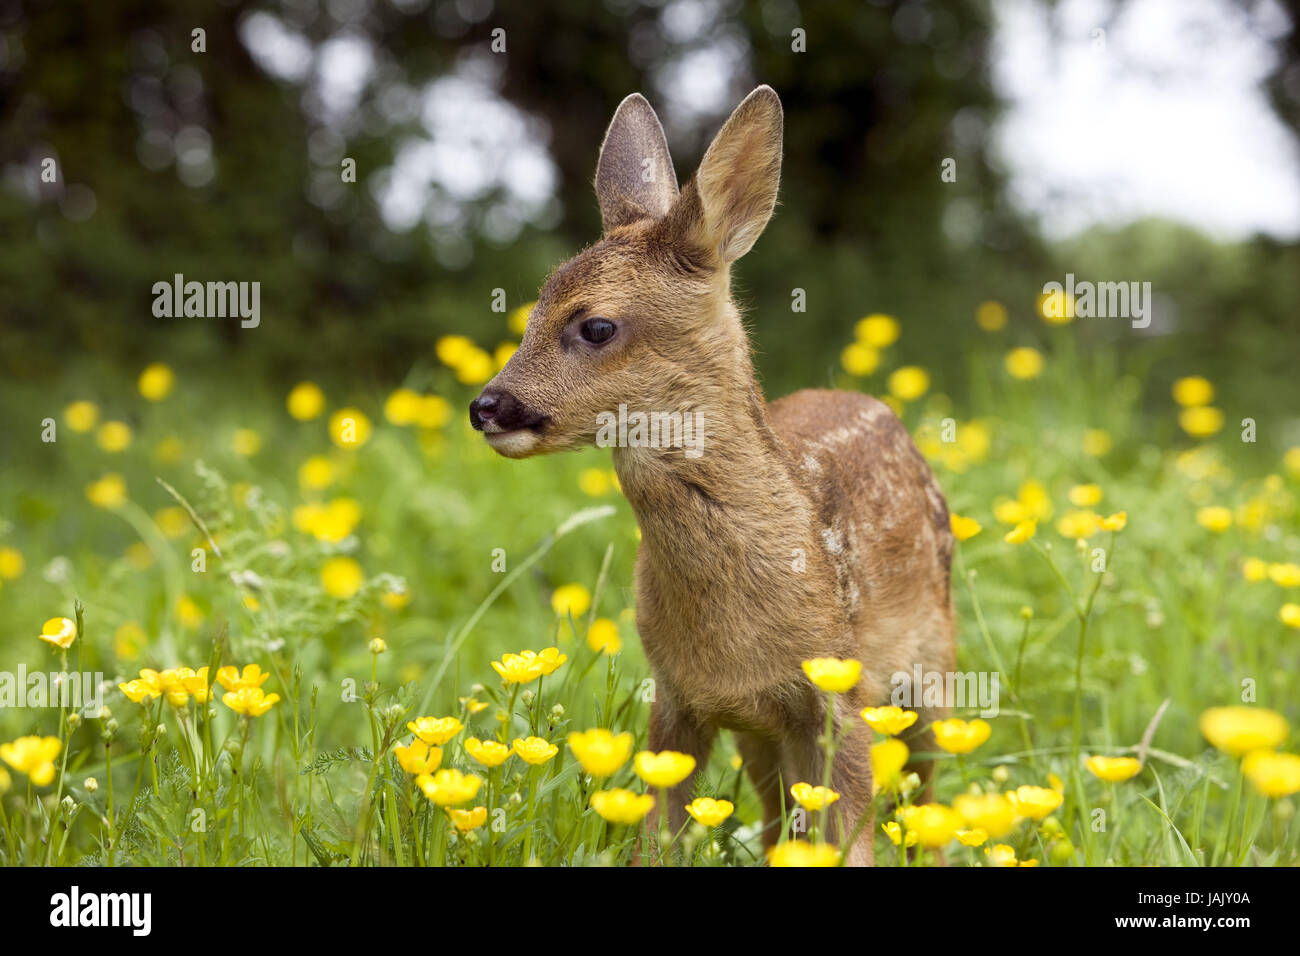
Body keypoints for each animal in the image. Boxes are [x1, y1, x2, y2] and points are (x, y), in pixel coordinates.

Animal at [469, 85, 956, 866]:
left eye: (595, 326)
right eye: (533, 307)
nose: (487, 406)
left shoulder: (841, 693)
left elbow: (851, 837)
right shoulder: (676, 699)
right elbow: (658, 833)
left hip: (933, 667)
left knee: (929, 796)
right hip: (765, 736)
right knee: (777, 817)